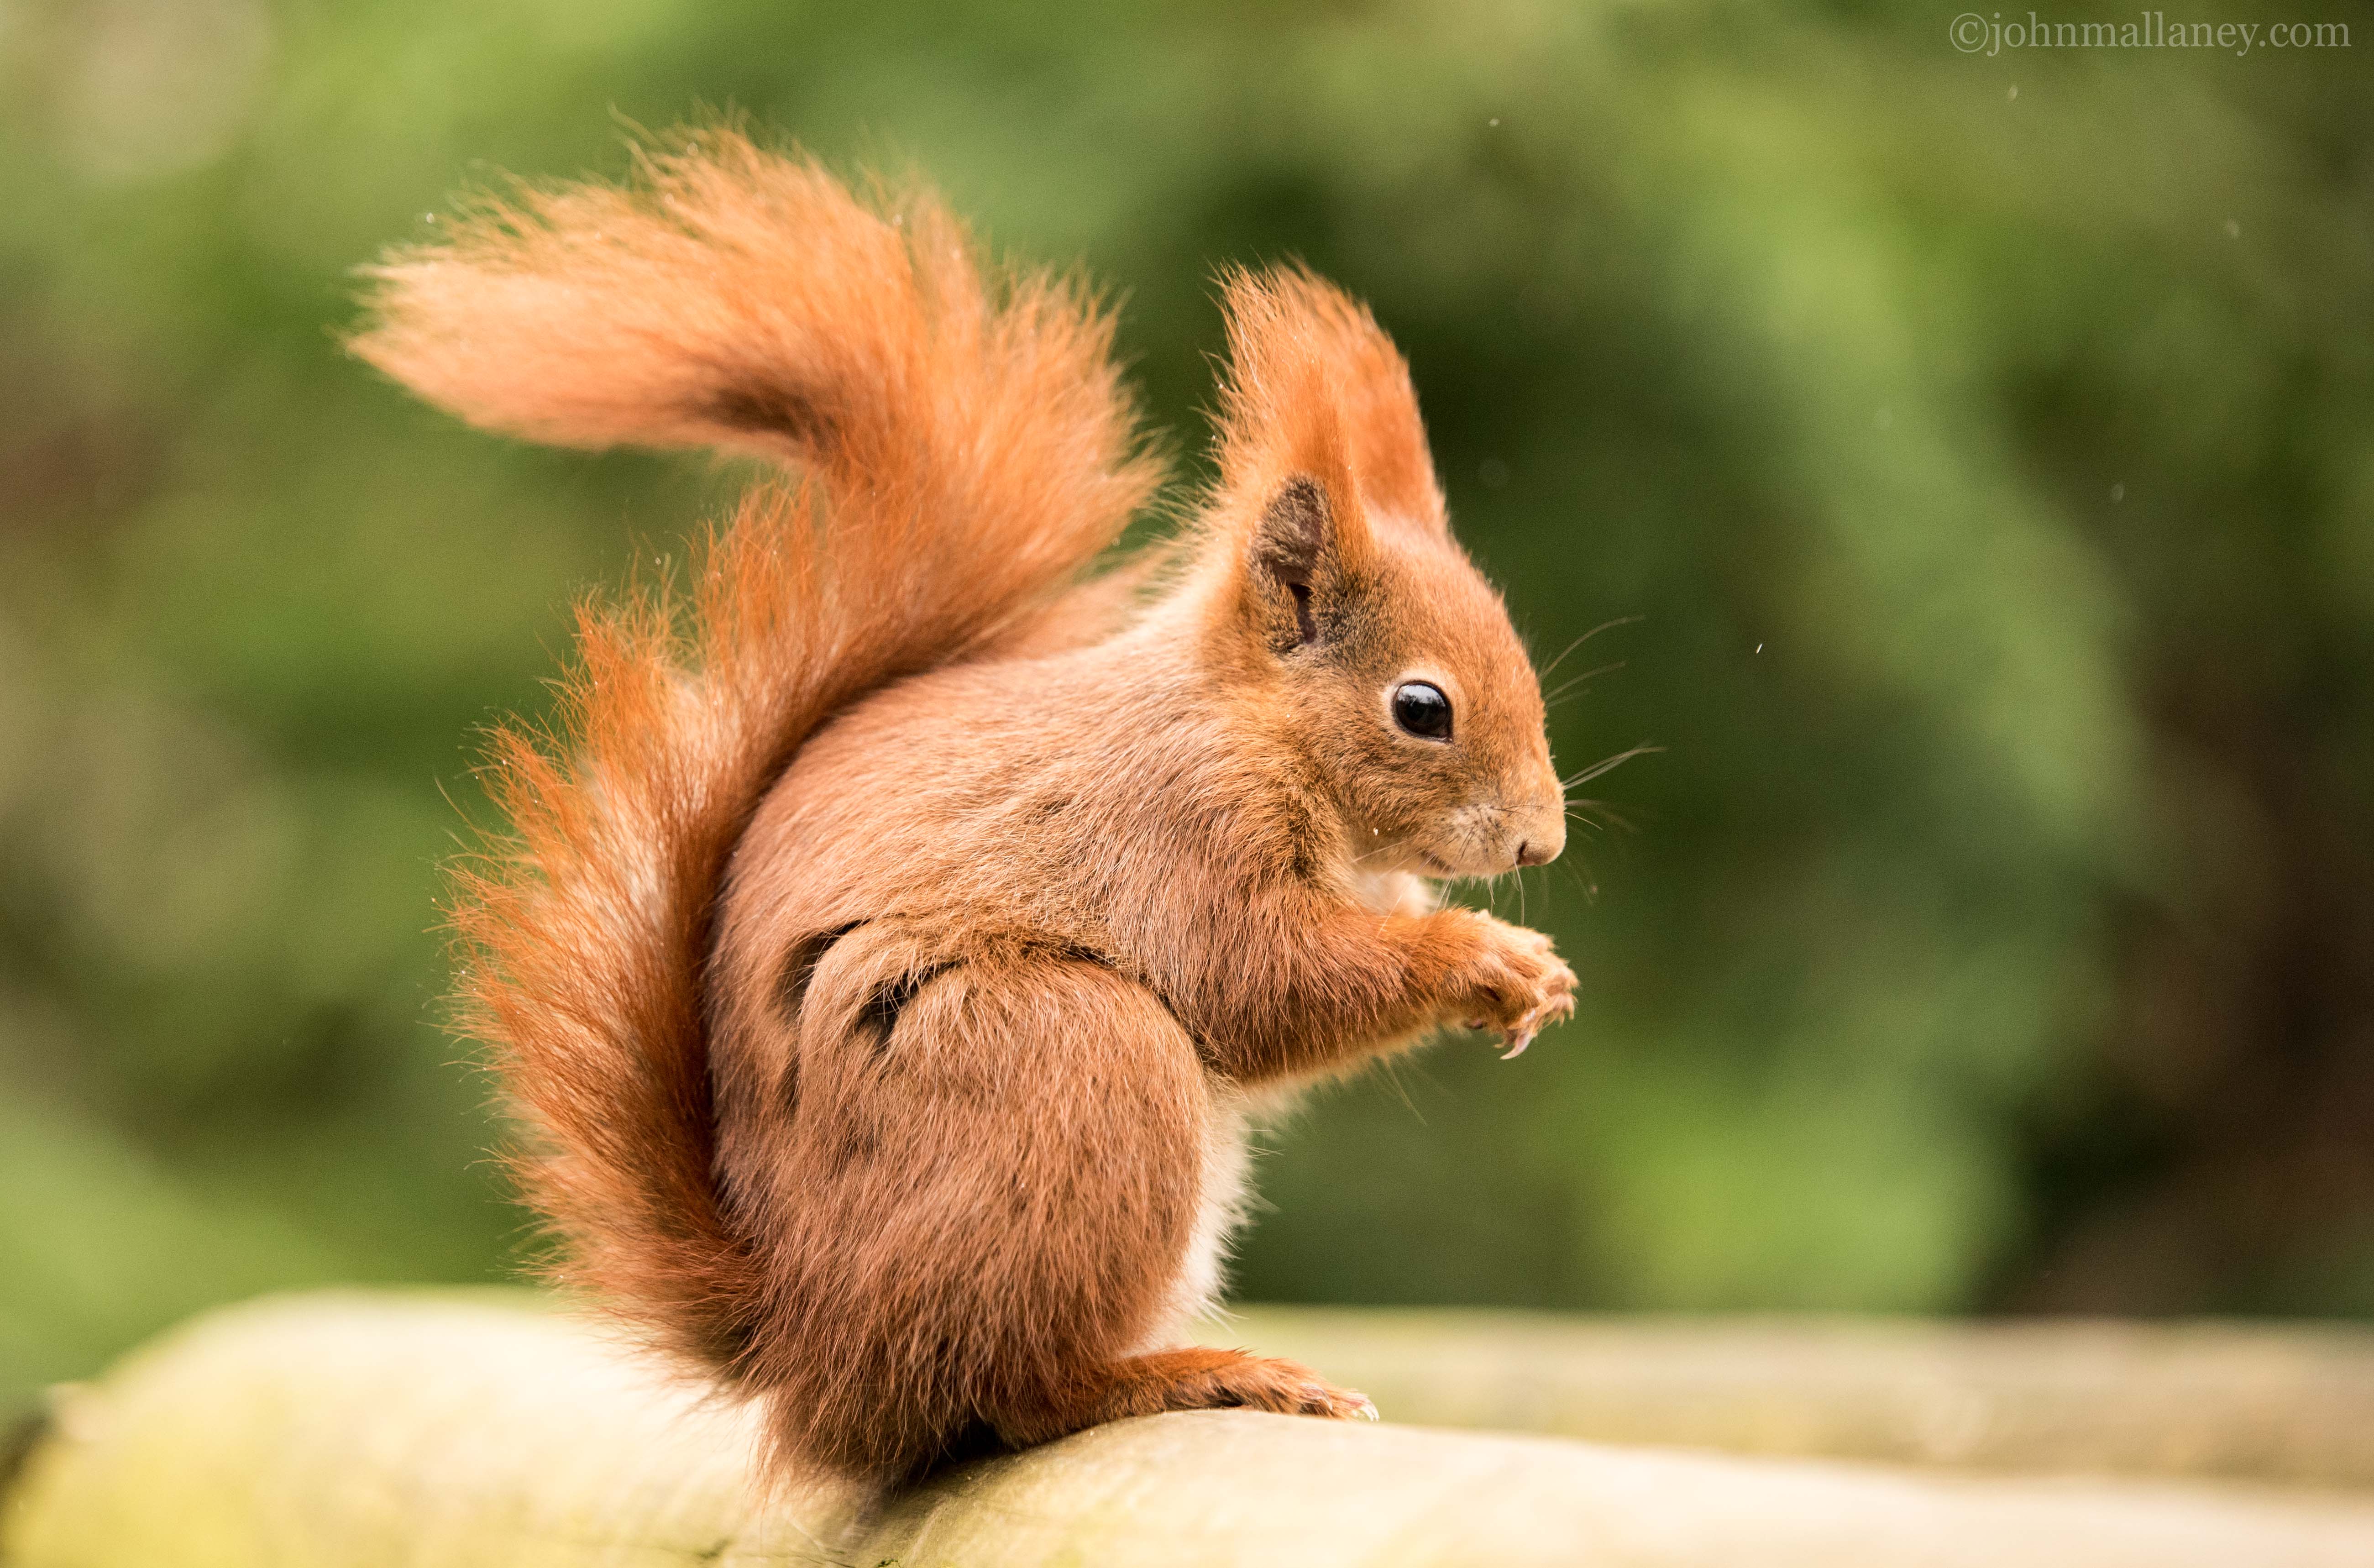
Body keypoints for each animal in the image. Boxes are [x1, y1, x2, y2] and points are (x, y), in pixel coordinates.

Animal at [350, 129, 1577, 1486]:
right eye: (1422, 707)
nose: (1543, 837)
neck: (1251, 725)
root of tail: (801, 1342)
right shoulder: (1181, 829)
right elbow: (1265, 982)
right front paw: (1479, 956)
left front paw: (1529, 965)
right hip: (1069, 1056)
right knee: (1010, 1390)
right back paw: (1188, 1373)